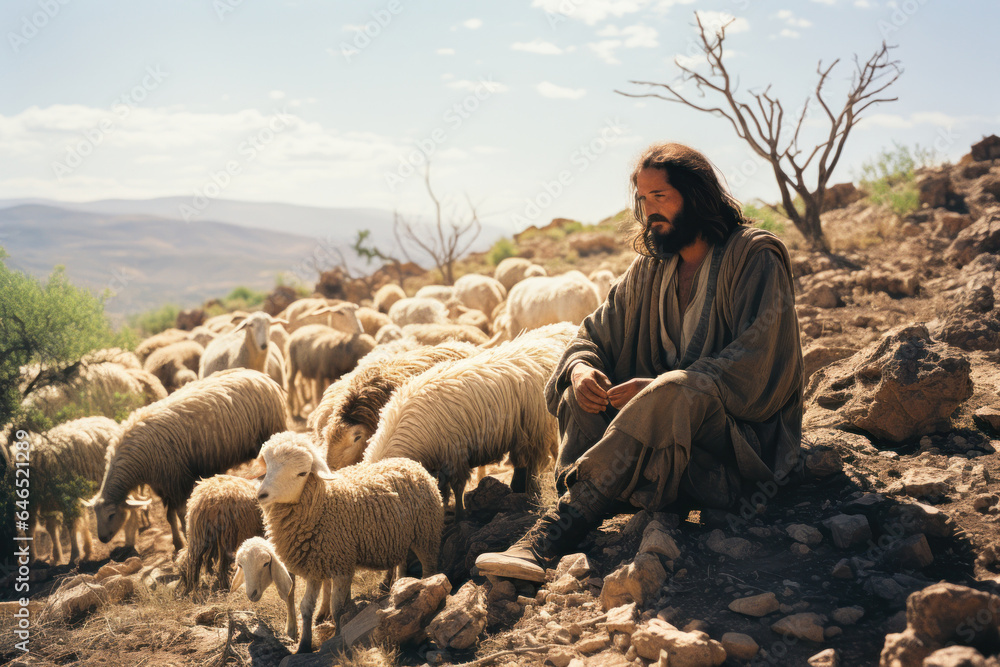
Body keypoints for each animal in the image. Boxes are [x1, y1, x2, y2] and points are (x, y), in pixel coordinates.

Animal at [90, 368, 287, 552]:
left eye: (111, 515)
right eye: (96, 515)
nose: (103, 539)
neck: (137, 463)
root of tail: (262, 376)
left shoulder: (176, 480)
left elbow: (180, 513)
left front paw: (186, 540)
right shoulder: (164, 485)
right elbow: (169, 516)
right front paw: (177, 543)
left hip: (269, 432)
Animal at [257, 433, 443, 653]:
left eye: (302, 473)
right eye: (268, 465)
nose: (262, 495)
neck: (323, 503)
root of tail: (411, 463)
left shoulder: (341, 564)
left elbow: (338, 608)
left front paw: (338, 638)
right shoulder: (314, 566)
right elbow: (306, 607)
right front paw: (303, 645)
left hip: (426, 535)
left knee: (429, 569)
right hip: (401, 537)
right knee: (402, 562)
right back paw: (399, 584)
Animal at [364, 323, 576, 520]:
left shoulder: (454, 455)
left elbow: (457, 488)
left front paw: (459, 515)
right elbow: (443, 490)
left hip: (535, 427)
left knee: (533, 464)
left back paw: (532, 493)